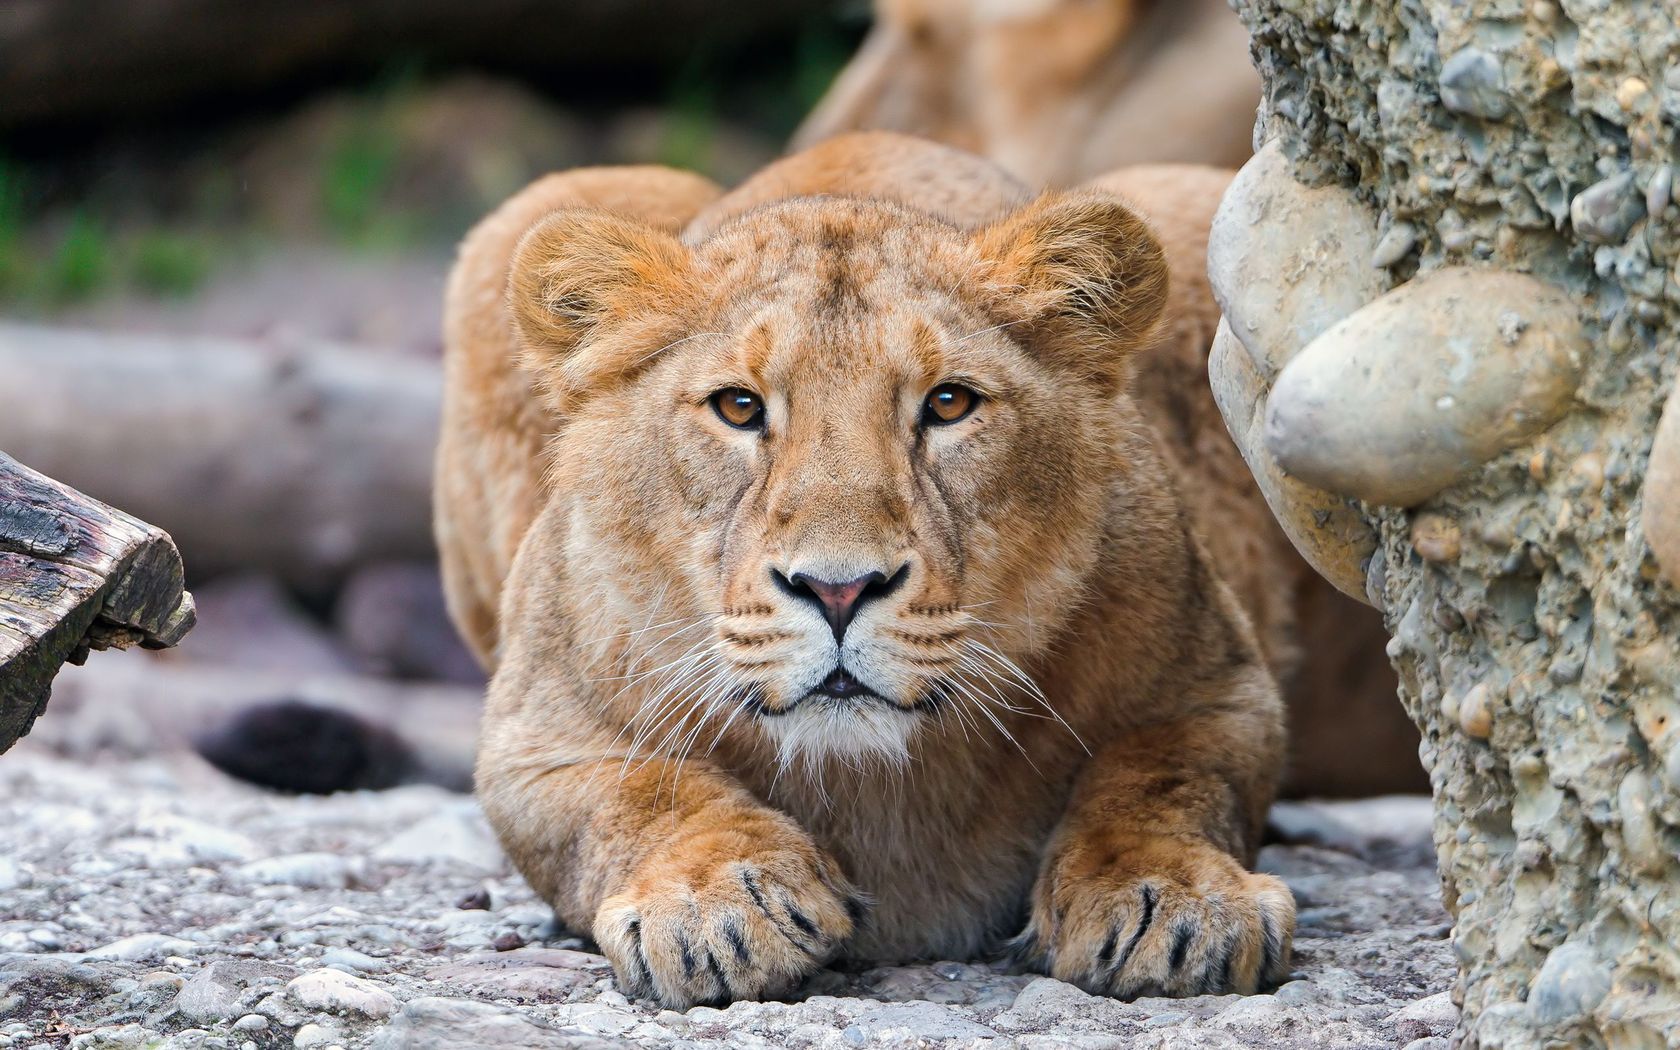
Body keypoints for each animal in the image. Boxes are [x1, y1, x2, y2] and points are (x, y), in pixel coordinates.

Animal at [436, 132, 1301, 1007]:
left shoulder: (1221, 690)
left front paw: (1172, 899)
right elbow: (647, 793)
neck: (871, 779)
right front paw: (718, 901)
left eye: (949, 403)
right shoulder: (536, 739)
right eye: (738, 408)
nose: (838, 590)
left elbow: (1159, 776)